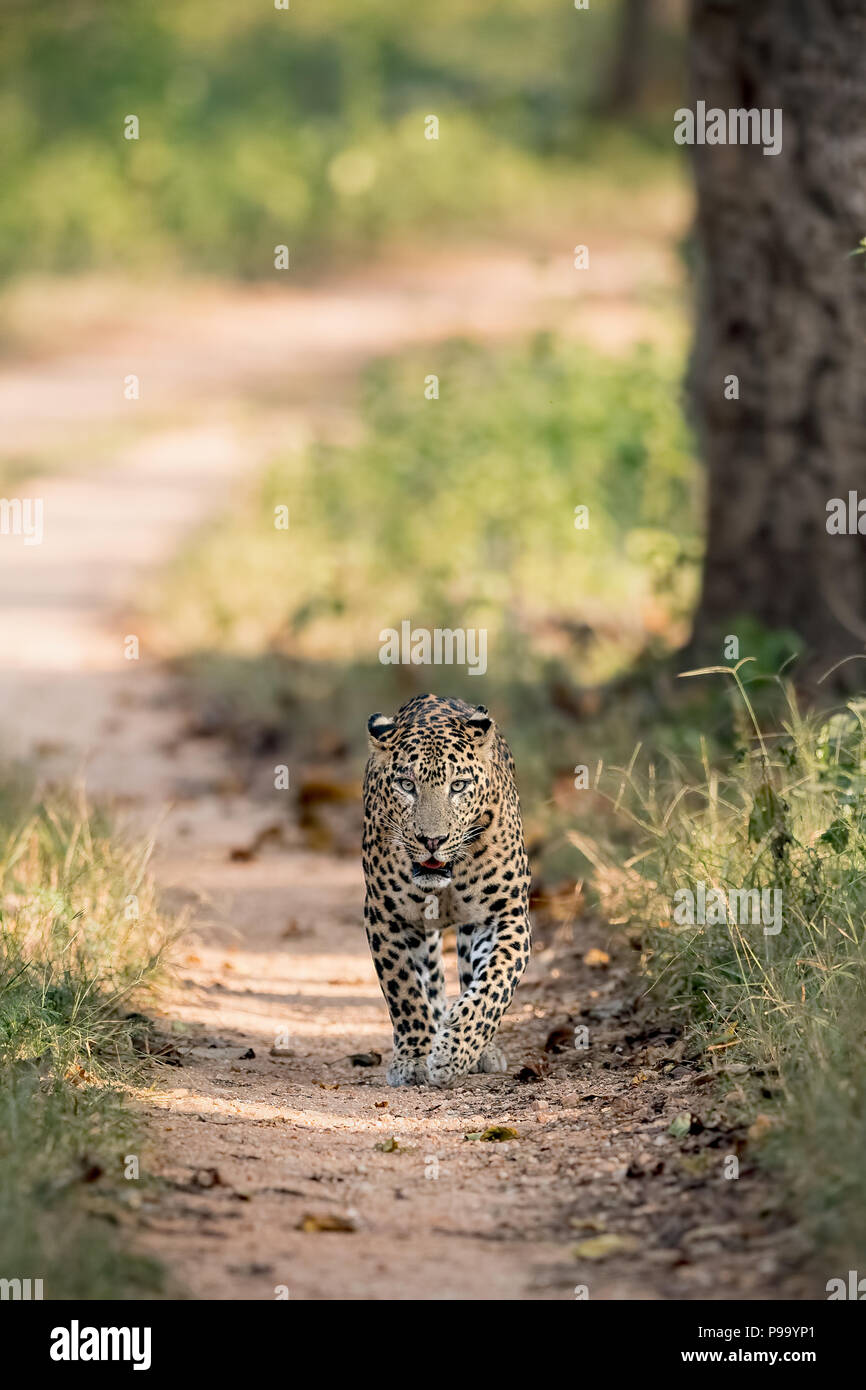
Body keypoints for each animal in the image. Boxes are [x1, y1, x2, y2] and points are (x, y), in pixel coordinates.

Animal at [362, 693, 531, 1087]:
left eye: (458, 786)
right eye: (406, 785)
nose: (432, 840)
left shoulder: (506, 914)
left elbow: (496, 983)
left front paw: (454, 1051)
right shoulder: (385, 918)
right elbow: (405, 990)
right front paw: (414, 1057)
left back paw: (481, 1050)